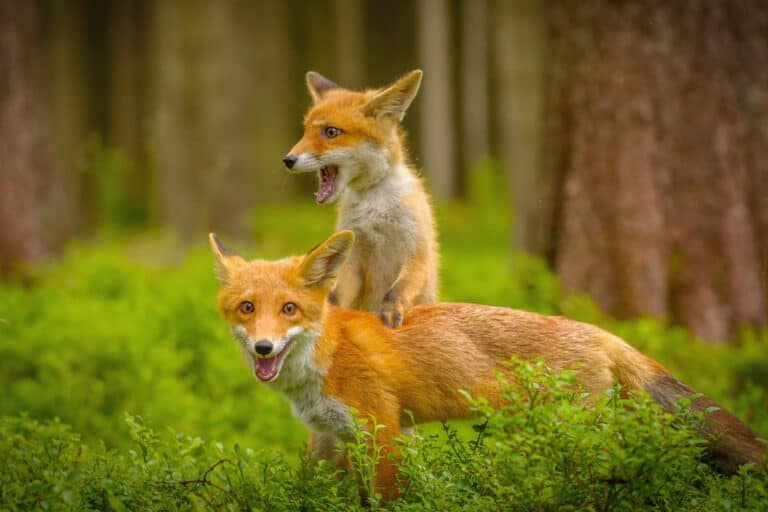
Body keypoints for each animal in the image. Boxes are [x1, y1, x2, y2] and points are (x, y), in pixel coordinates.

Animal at [209, 230, 766, 501]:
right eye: (247, 309)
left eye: (289, 310)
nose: (263, 348)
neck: (324, 356)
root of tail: (603, 332)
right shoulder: (346, 436)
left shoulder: (382, 431)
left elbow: (382, 500)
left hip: (572, 442)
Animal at [282, 70, 437, 328]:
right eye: (305, 131)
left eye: (331, 132)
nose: (287, 160)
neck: (374, 203)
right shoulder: (353, 258)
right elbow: (336, 295)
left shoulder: (417, 252)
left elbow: (396, 291)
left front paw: (390, 312)